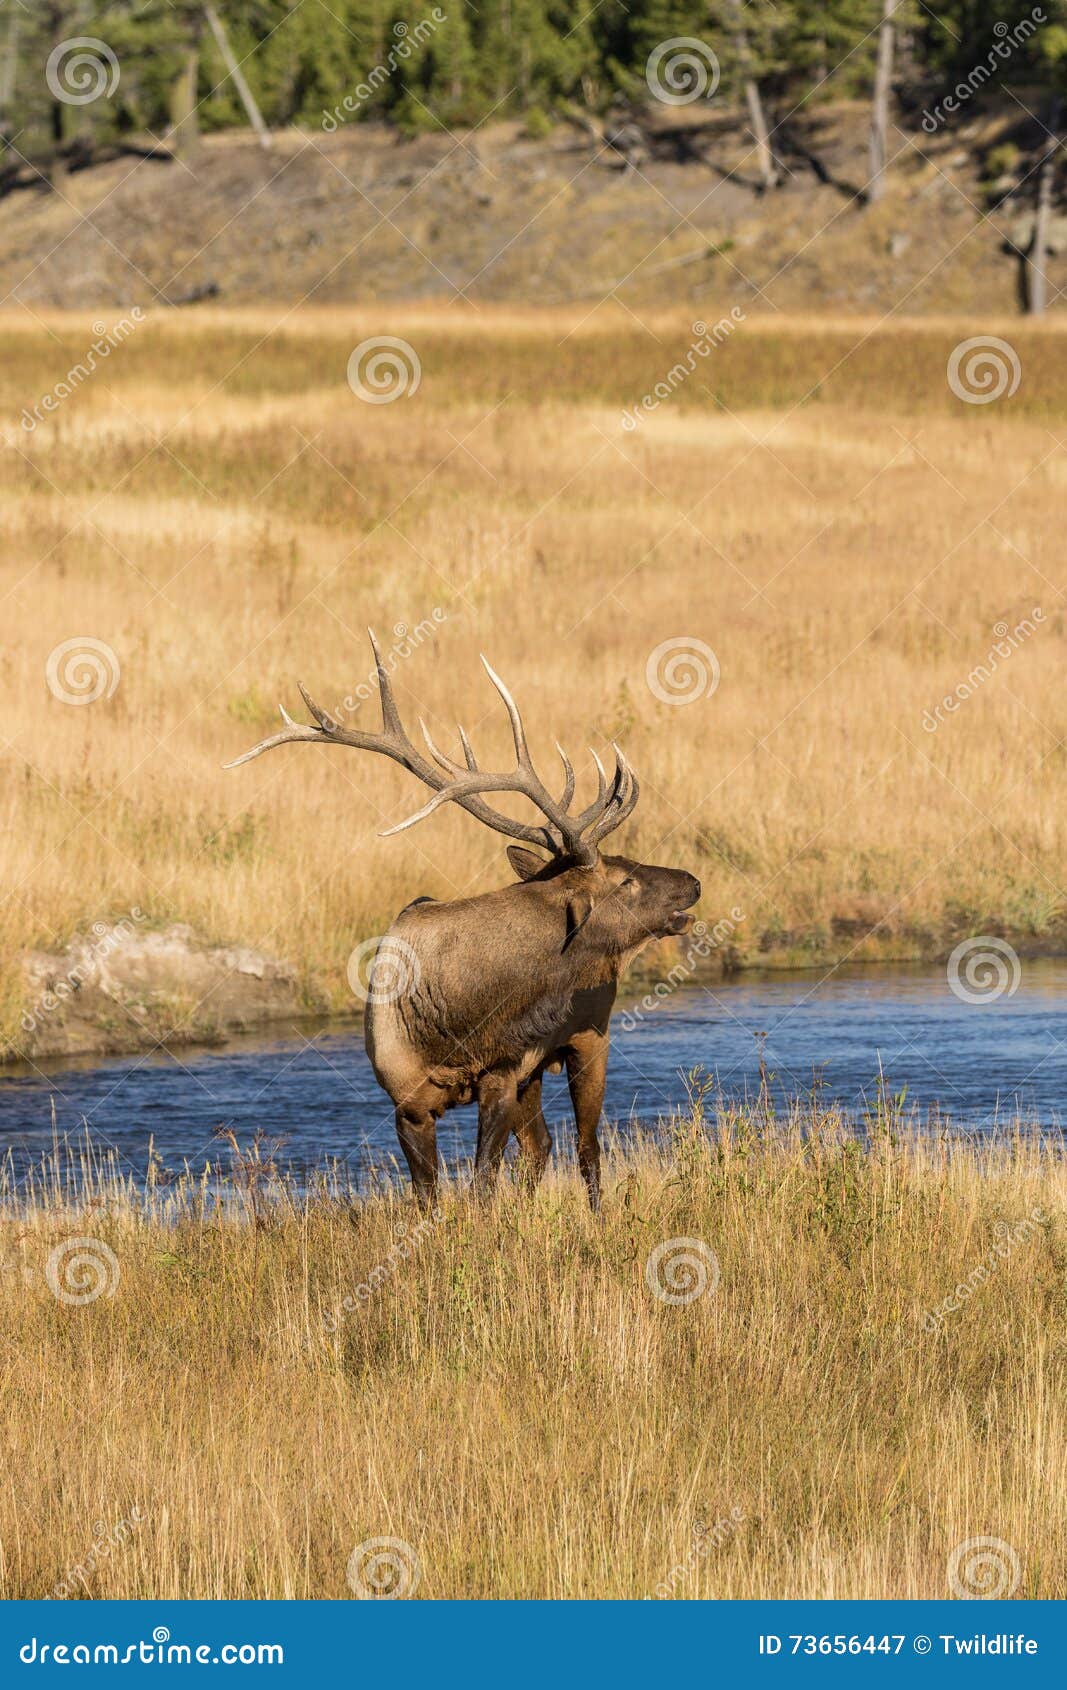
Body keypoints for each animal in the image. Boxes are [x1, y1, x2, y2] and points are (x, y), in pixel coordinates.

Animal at [226, 634, 700, 1210]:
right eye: (625, 879)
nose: (693, 881)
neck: (454, 1023)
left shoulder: (503, 1071)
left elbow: (482, 1182)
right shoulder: (408, 1100)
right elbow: (435, 1194)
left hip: (587, 1039)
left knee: (585, 1148)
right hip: (545, 1066)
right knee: (545, 1147)